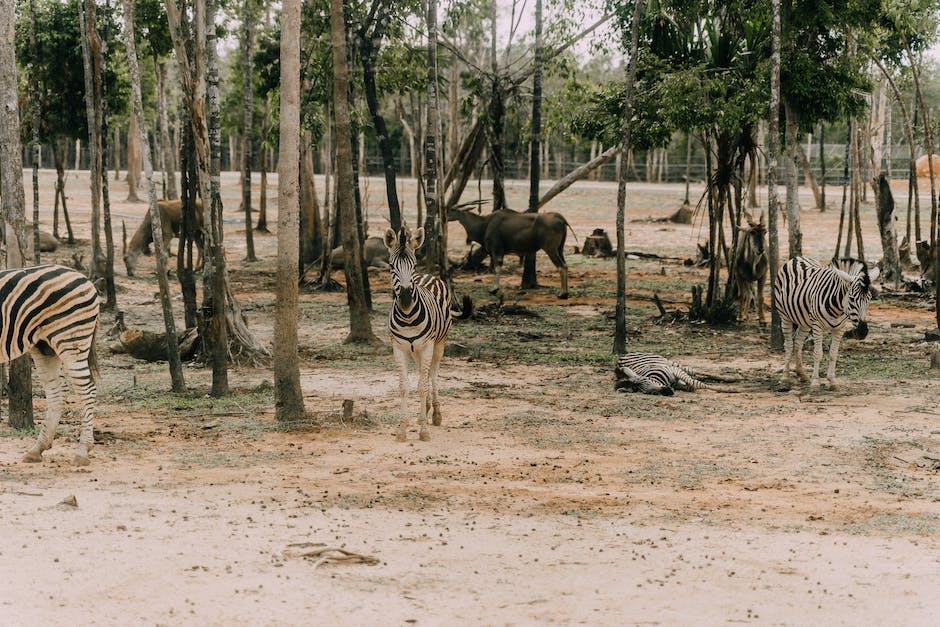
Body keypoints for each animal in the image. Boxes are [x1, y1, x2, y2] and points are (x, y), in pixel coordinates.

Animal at [0, 264, 101, 466]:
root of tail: (84, 277)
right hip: (44, 346)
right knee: (57, 392)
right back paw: (38, 449)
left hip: (71, 339)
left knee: (87, 390)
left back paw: (82, 451)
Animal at [776, 255, 876, 388]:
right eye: (852, 298)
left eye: (869, 298)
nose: (862, 331)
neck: (838, 308)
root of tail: (797, 258)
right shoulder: (817, 326)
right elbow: (818, 353)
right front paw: (815, 382)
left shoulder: (840, 328)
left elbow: (833, 354)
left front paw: (832, 381)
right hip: (785, 316)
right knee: (788, 345)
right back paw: (785, 377)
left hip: (805, 321)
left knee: (797, 342)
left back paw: (802, 374)